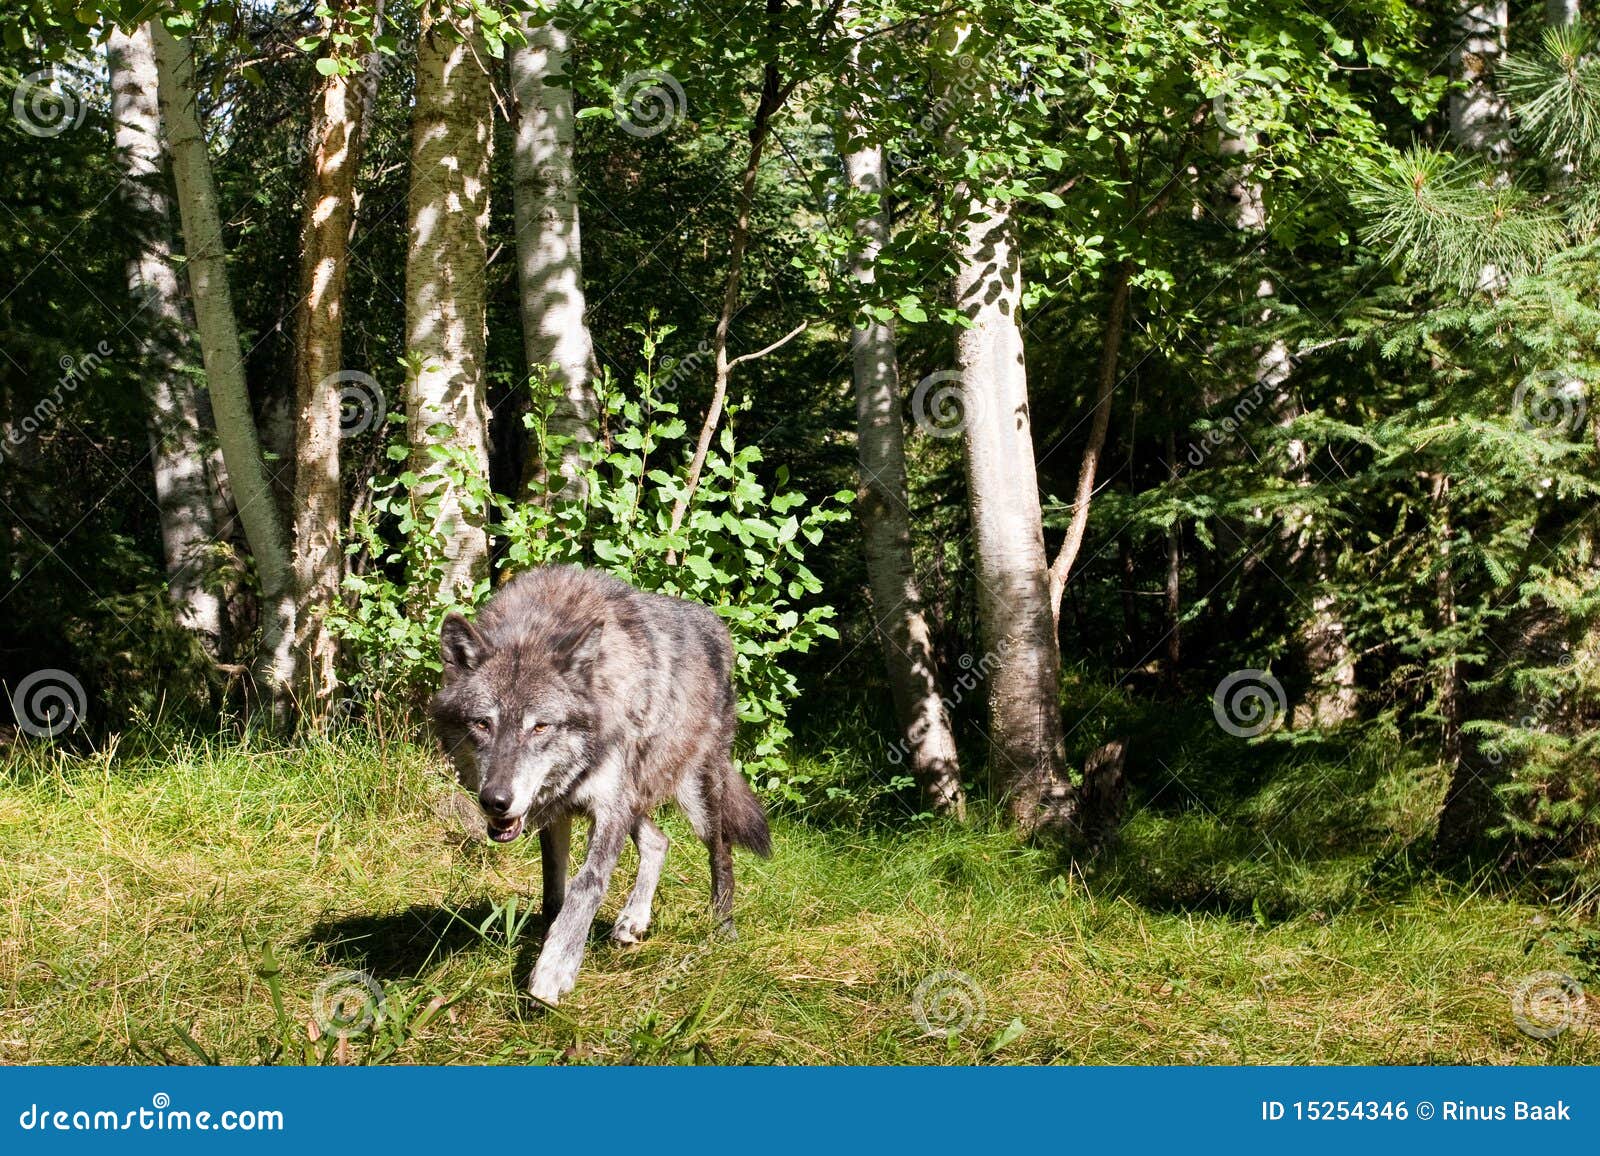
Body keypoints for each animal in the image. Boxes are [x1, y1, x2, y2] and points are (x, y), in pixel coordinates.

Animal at [429, 564, 771, 1005]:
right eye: (482, 724)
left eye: (540, 726)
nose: (496, 801)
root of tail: (719, 625)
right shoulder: (556, 810)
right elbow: (553, 890)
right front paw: (551, 941)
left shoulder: (609, 809)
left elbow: (586, 885)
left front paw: (554, 969)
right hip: (636, 795)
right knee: (659, 840)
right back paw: (633, 920)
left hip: (696, 795)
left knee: (721, 856)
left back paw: (722, 929)